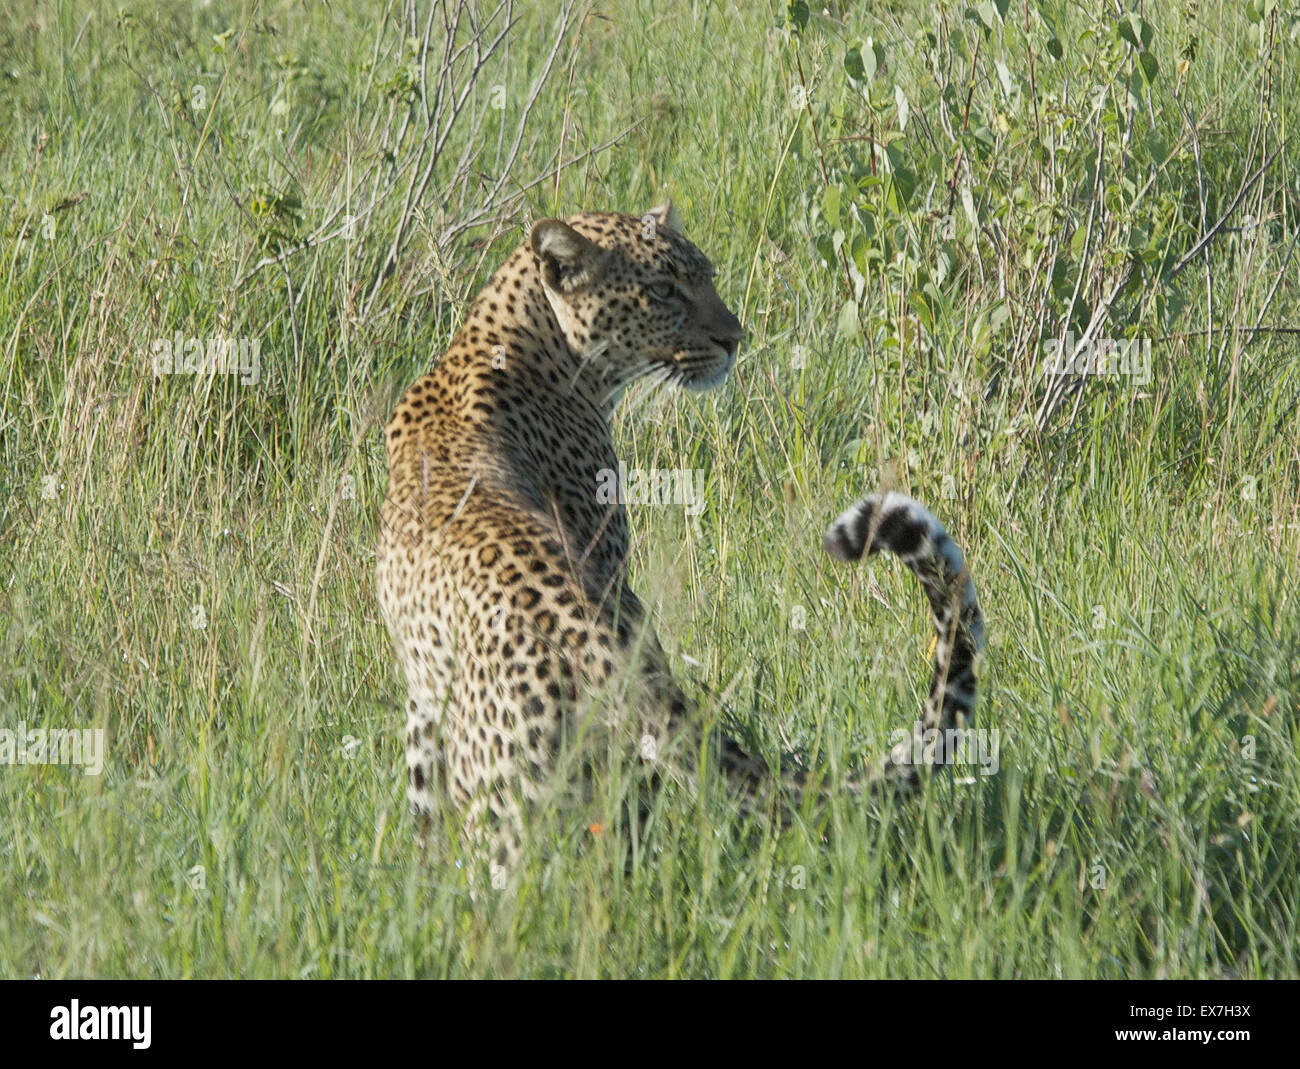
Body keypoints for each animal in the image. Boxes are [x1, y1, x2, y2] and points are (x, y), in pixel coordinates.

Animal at [375, 201, 984, 876]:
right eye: (664, 290)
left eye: (705, 276)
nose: (734, 338)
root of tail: (604, 648)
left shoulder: (422, 698)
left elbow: (422, 811)